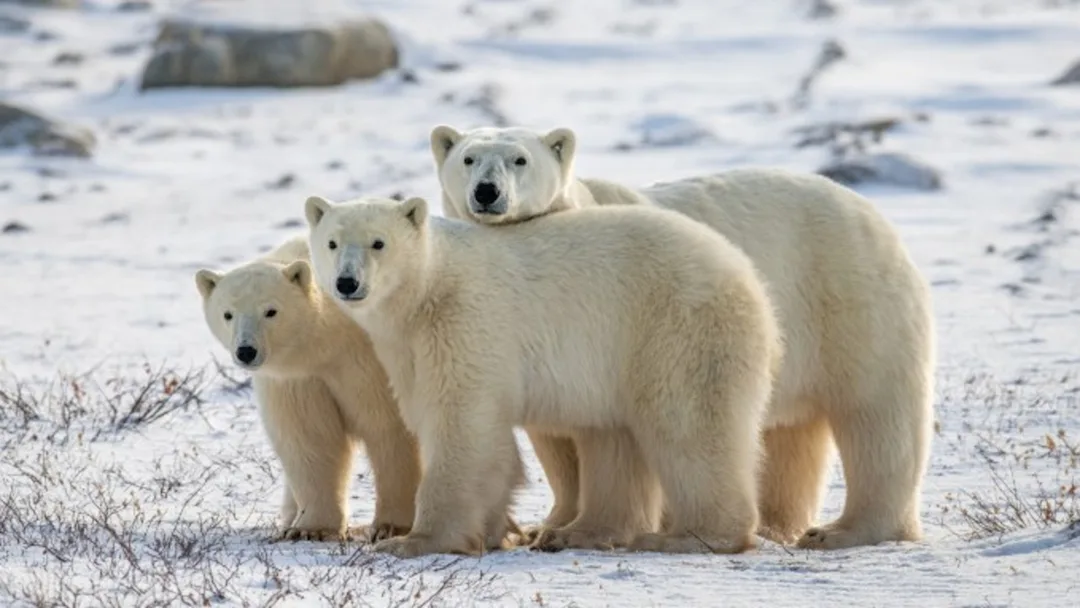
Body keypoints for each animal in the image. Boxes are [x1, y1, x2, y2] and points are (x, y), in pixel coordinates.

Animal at [194, 236, 421, 543]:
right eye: (228, 314)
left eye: (271, 311)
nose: (246, 351)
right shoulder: (298, 379)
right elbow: (309, 439)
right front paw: (311, 529)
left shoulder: (369, 364)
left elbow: (390, 427)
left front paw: (392, 526)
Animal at [303, 193, 782, 559]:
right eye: (331, 242)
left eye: (378, 243)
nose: (347, 283)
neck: (428, 290)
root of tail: (747, 275)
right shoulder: (406, 348)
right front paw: (497, 530)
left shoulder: (464, 322)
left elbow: (461, 423)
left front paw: (413, 540)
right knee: (614, 439)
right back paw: (575, 532)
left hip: (675, 328)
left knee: (686, 425)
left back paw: (692, 536)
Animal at [430, 124, 937, 551]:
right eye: (469, 158)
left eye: (519, 159)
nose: (487, 192)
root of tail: (870, 212)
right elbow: (557, 440)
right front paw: (550, 526)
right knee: (790, 436)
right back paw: (776, 524)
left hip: (850, 299)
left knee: (875, 415)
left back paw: (844, 530)